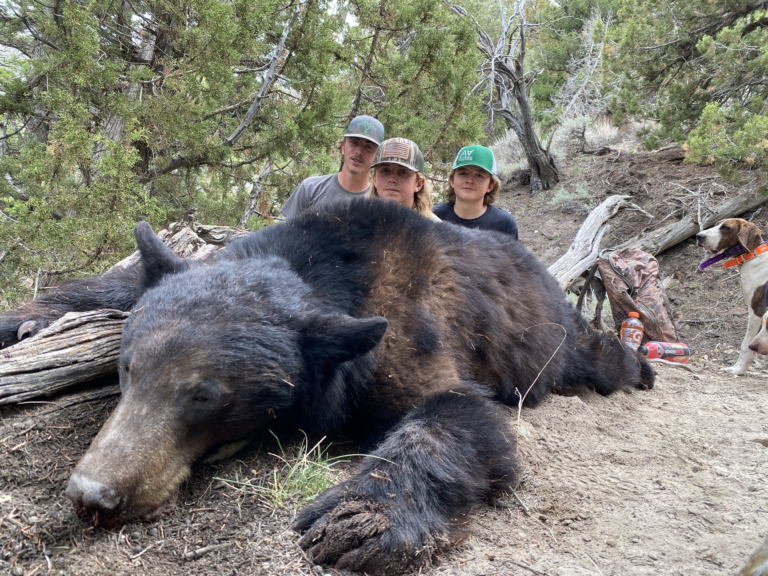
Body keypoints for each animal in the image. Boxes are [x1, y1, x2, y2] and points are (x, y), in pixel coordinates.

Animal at [0, 198, 654, 575]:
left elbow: (462, 414)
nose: (93, 495)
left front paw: (359, 519)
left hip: (549, 341)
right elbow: (111, 284)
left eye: (204, 396)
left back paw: (640, 366)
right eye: (128, 368)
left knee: (590, 355)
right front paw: (24, 320)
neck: (331, 266)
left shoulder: (408, 334)